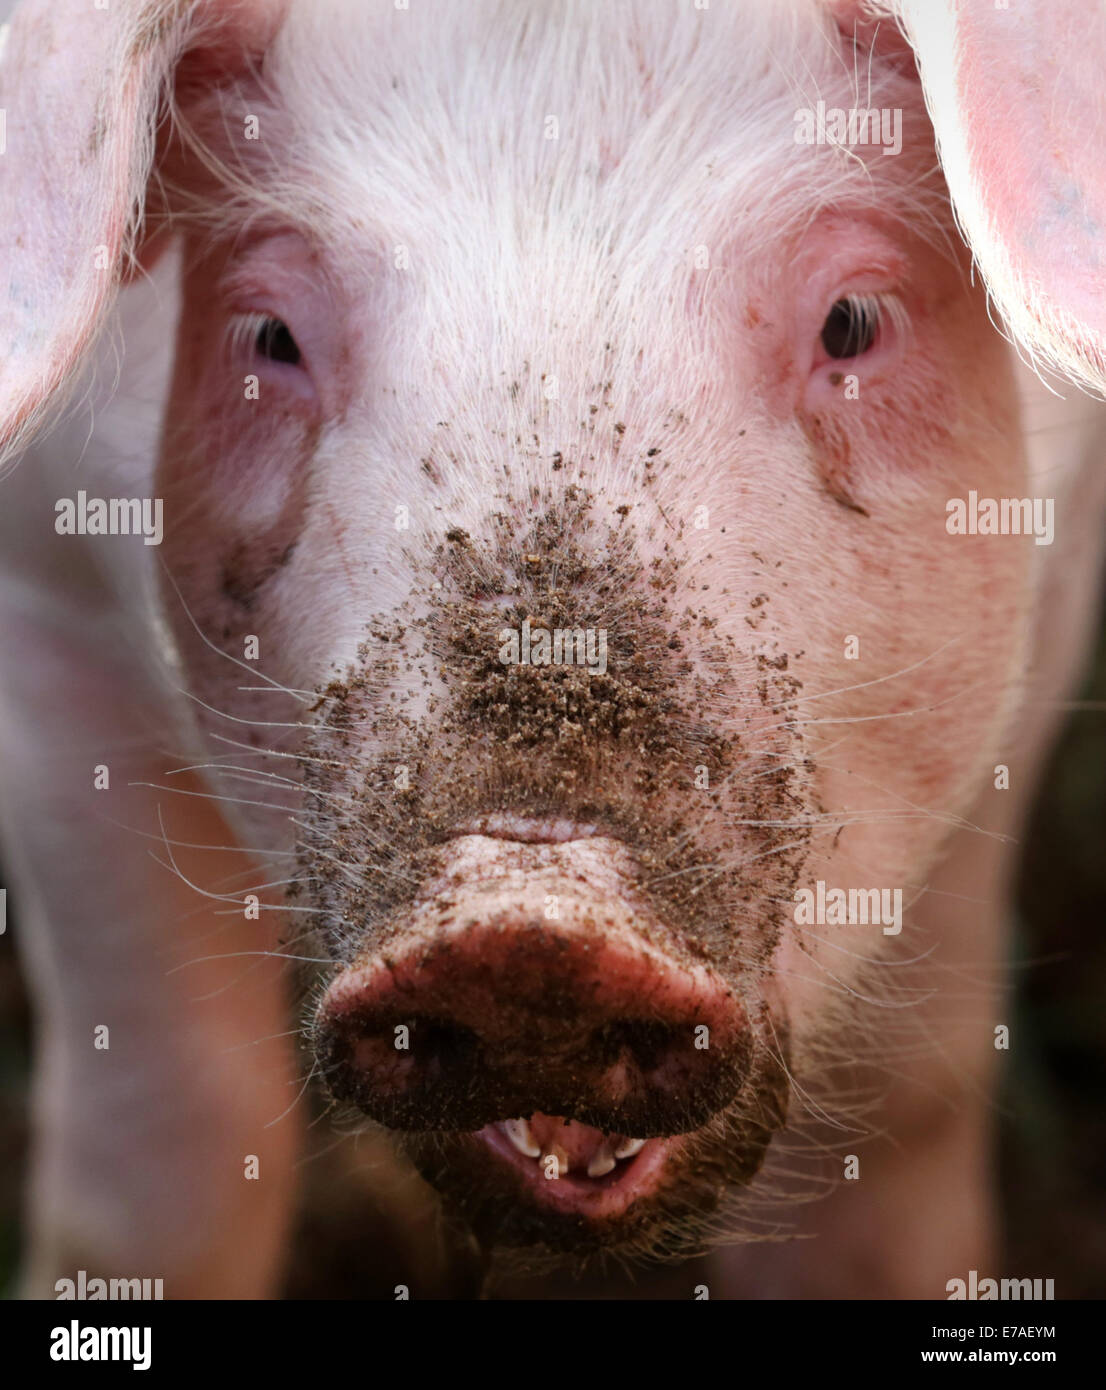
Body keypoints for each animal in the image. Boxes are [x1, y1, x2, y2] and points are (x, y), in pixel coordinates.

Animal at [1, 0, 1105, 1299]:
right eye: (269, 335)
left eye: (853, 321)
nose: (529, 922)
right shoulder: (44, 615)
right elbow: (168, 1140)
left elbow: (904, 1110)